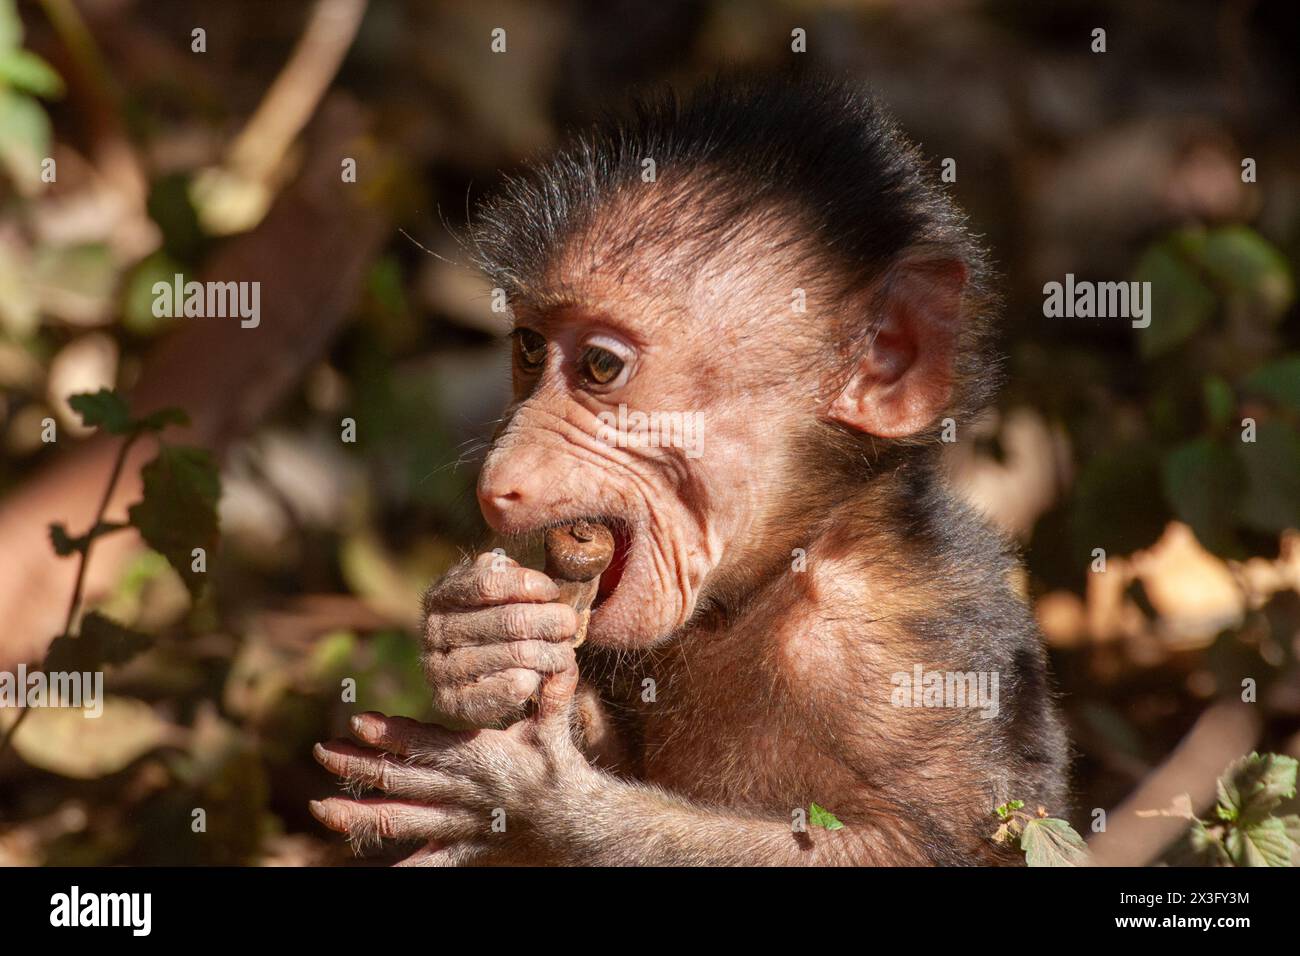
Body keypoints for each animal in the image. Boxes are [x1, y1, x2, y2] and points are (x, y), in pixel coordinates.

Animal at [310, 73, 1069, 866]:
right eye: (529, 347)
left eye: (600, 365)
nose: (498, 480)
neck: (784, 567)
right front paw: (479, 639)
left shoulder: (906, 651)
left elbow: (911, 844)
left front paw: (531, 799)